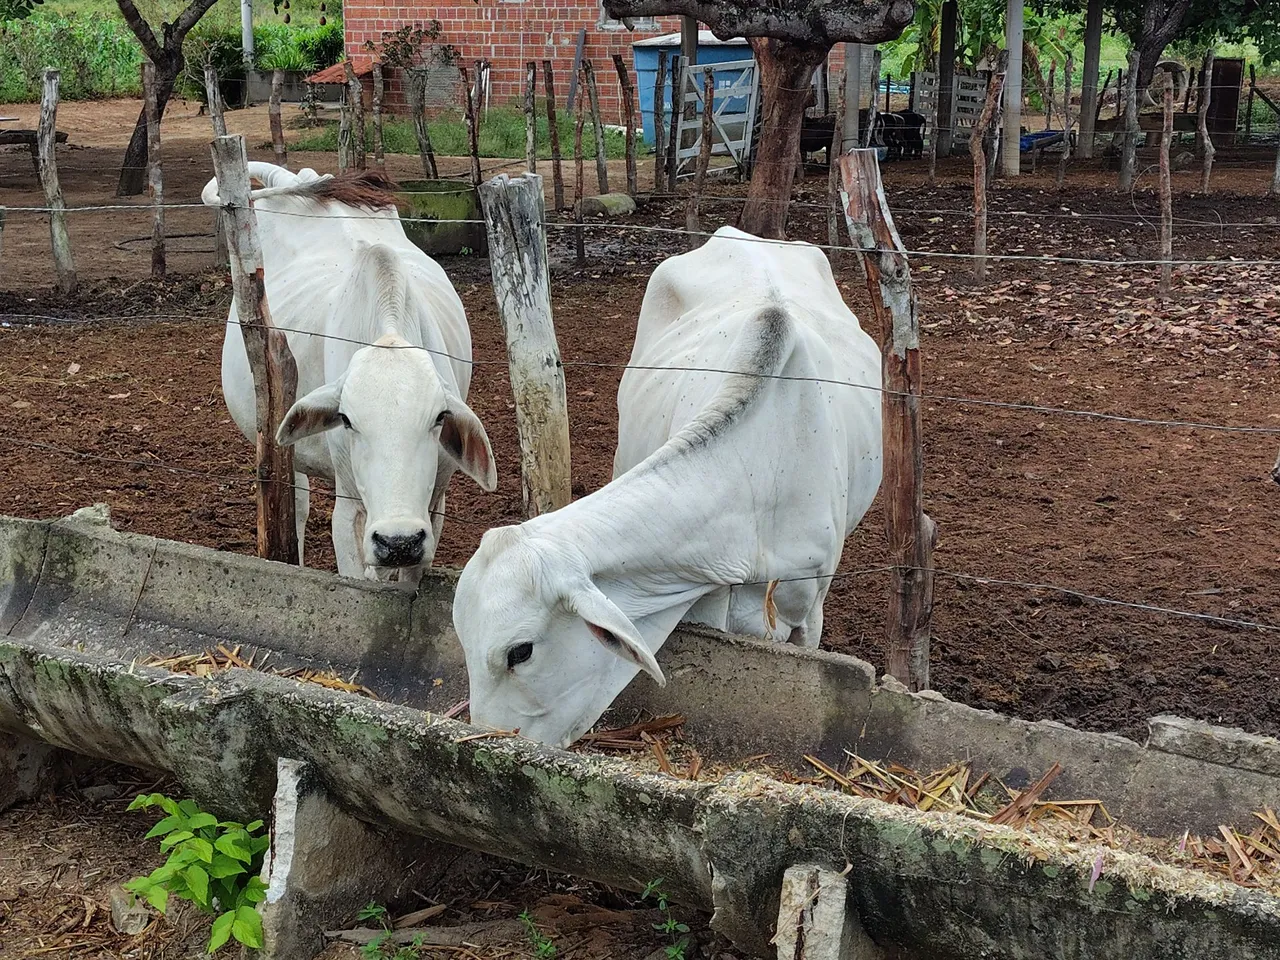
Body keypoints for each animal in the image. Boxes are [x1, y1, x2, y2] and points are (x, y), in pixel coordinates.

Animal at [203, 164, 497, 585]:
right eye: (345, 419)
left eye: (440, 417)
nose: (397, 541)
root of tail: (296, 179)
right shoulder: (348, 512)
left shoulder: (433, 508)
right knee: (297, 502)